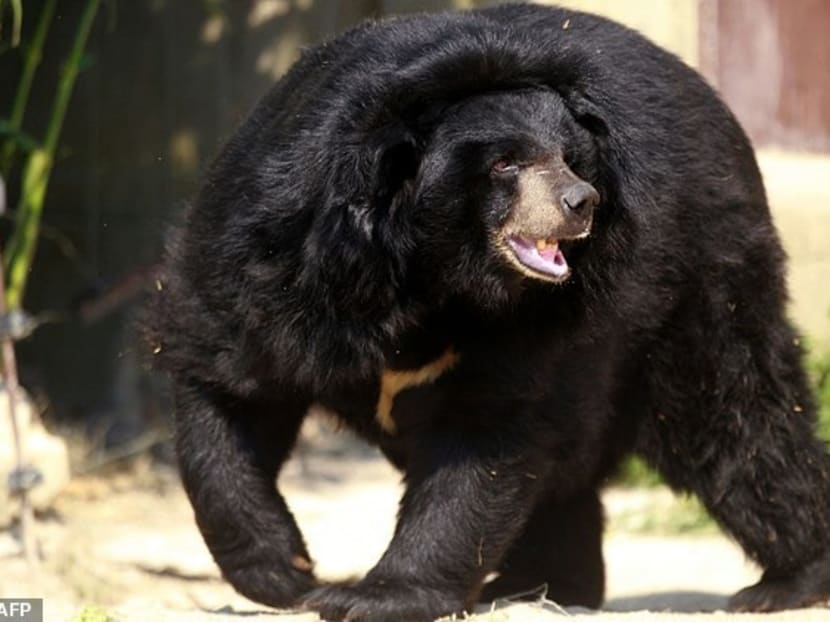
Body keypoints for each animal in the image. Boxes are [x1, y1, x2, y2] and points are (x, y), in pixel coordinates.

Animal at [146, 4, 830, 621]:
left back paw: (784, 582)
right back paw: (541, 584)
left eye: (571, 157)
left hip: (698, 274)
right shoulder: (272, 262)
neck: (431, 276)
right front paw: (285, 573)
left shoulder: (538, 324)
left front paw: (367, 596)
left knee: (737, 417)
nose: (581, 201)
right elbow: (231, 391)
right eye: (506, 162)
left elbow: (487, 437)